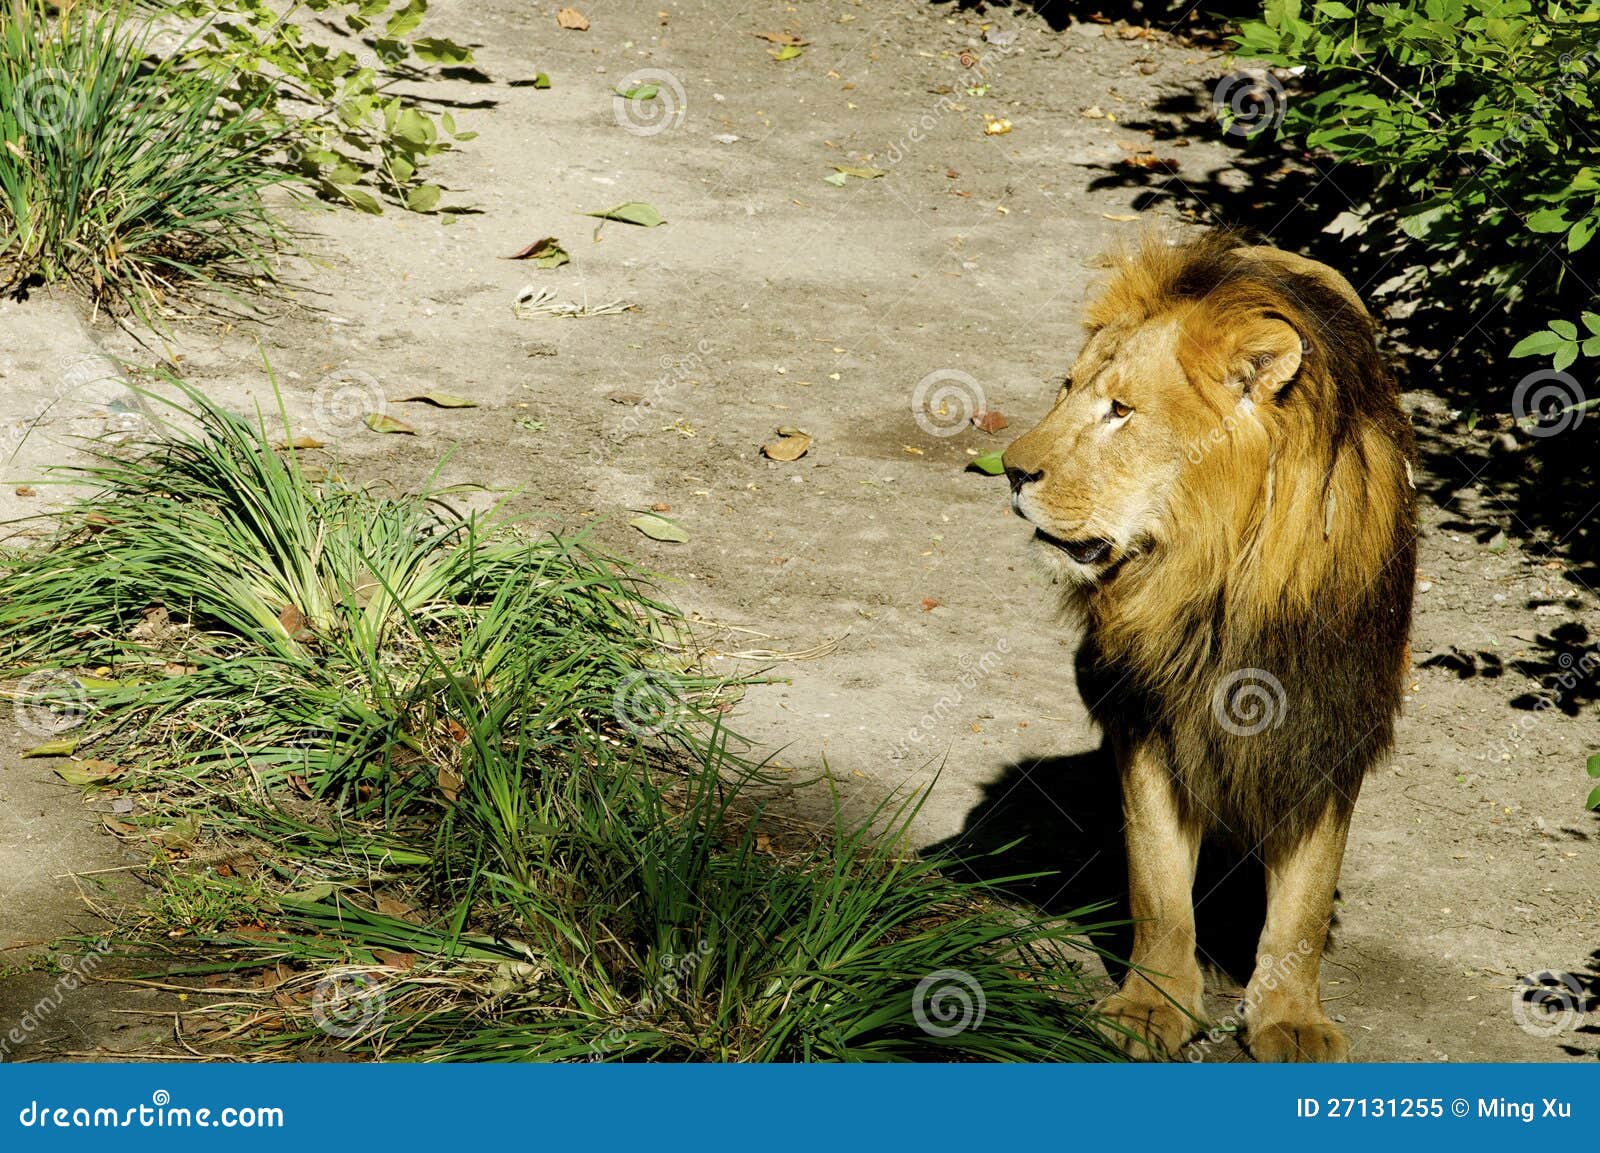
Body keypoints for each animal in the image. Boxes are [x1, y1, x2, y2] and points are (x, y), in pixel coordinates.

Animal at [1001, 230, 1416, 1062]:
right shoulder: (1148, 716)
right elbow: (1159, 884)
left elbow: (1304, 903)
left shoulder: (1328, 724)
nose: (1009, 470)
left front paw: (1289, 1015)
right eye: (1065, 390)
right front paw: (1151, 1006)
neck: (1215, 579)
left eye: (1121, 410)